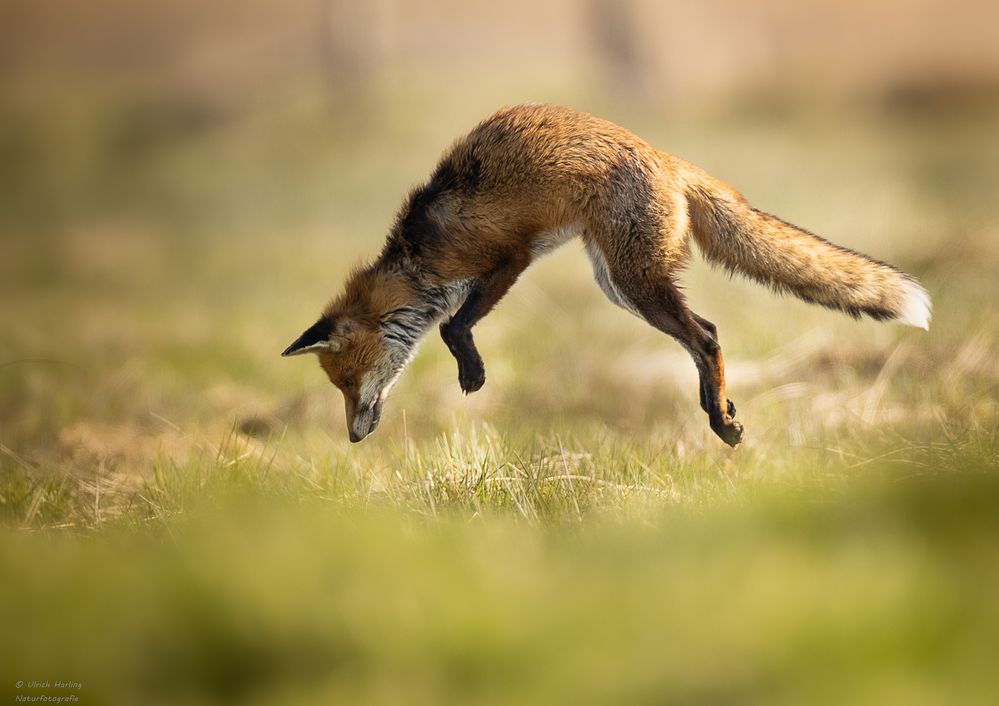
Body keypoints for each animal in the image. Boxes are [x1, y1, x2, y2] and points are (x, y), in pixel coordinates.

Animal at [282, 104, 930, 447]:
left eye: (346, 381)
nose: (352, 437)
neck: (419, 258)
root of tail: (671, 159)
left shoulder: (508, 258)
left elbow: (451, 327)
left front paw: (472, 372)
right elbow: (449, 324)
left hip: (633, 280)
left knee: (706, 337)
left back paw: (719, 419)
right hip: (621, 285)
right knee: (705, 332)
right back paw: (714, 405)